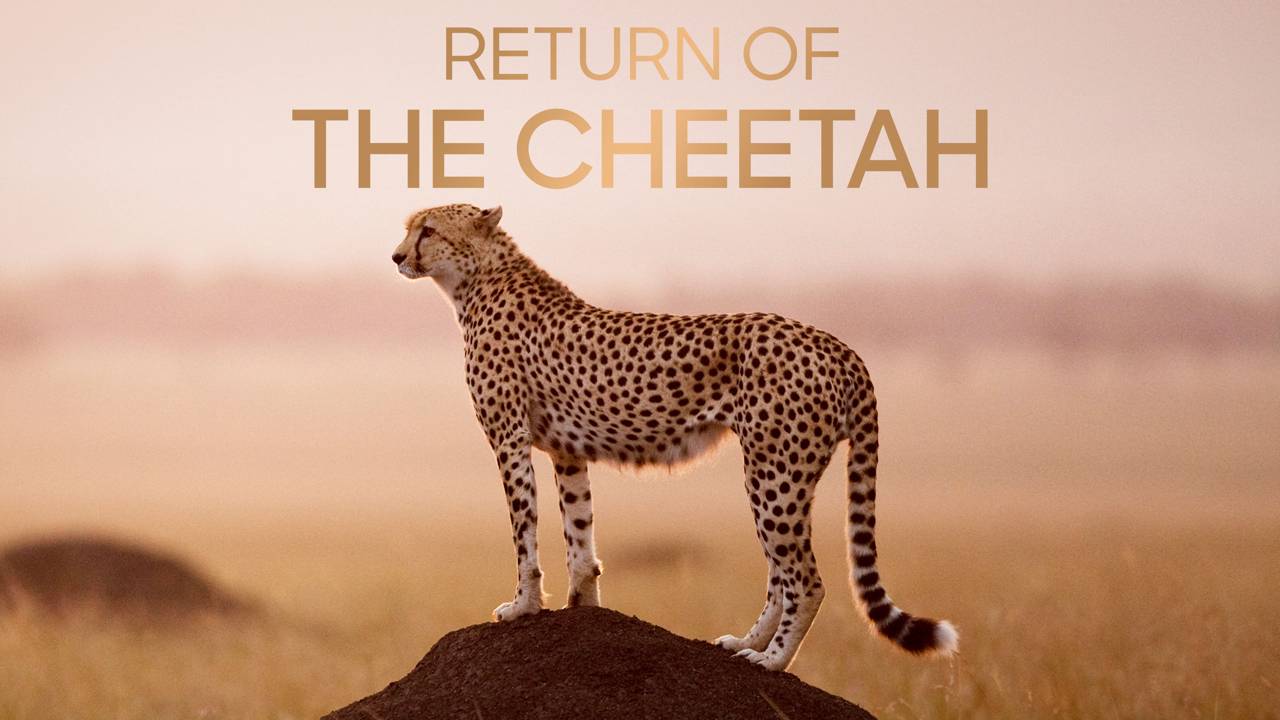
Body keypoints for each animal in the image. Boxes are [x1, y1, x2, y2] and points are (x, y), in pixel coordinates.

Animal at [391, 203, 958, 671]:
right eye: (411, 228)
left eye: (429, 229)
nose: (396, 256)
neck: (479, 279)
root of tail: (836, 343)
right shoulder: (566, 451)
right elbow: (580, 535)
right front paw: (583, 610)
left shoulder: (509, 439)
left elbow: (523, 530)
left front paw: (523, 606)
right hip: (781, 475)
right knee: (780, 574)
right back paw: (745, 644)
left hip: (774, 473)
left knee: (805, 579)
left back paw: (772, 661)